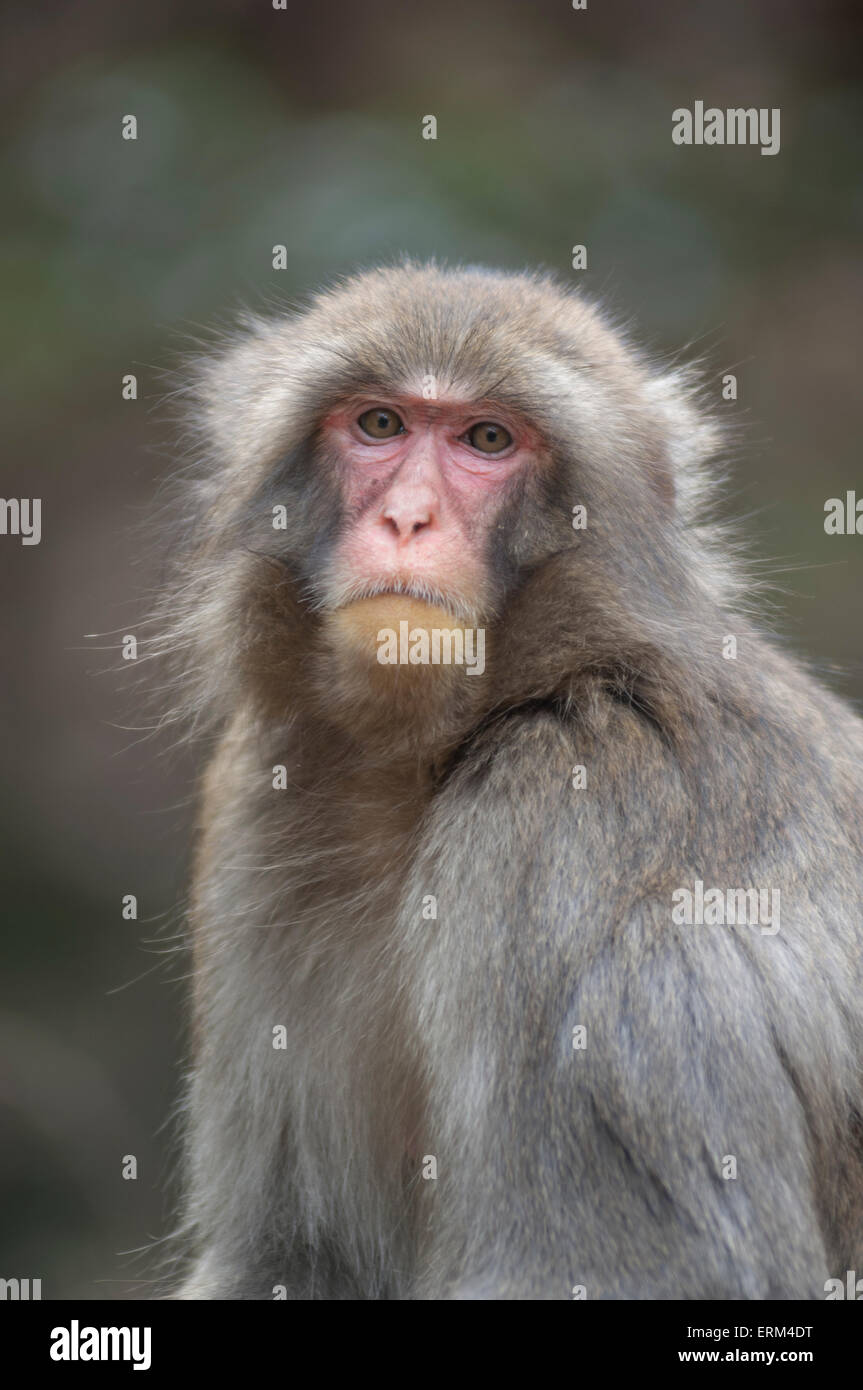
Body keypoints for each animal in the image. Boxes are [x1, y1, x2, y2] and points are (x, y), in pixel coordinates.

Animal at [157, 261, 863, 1300]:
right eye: (378, 424)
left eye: (487, 439)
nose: (406, 518)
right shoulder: (263, 785)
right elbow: (287, 1257)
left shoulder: (573, 810)